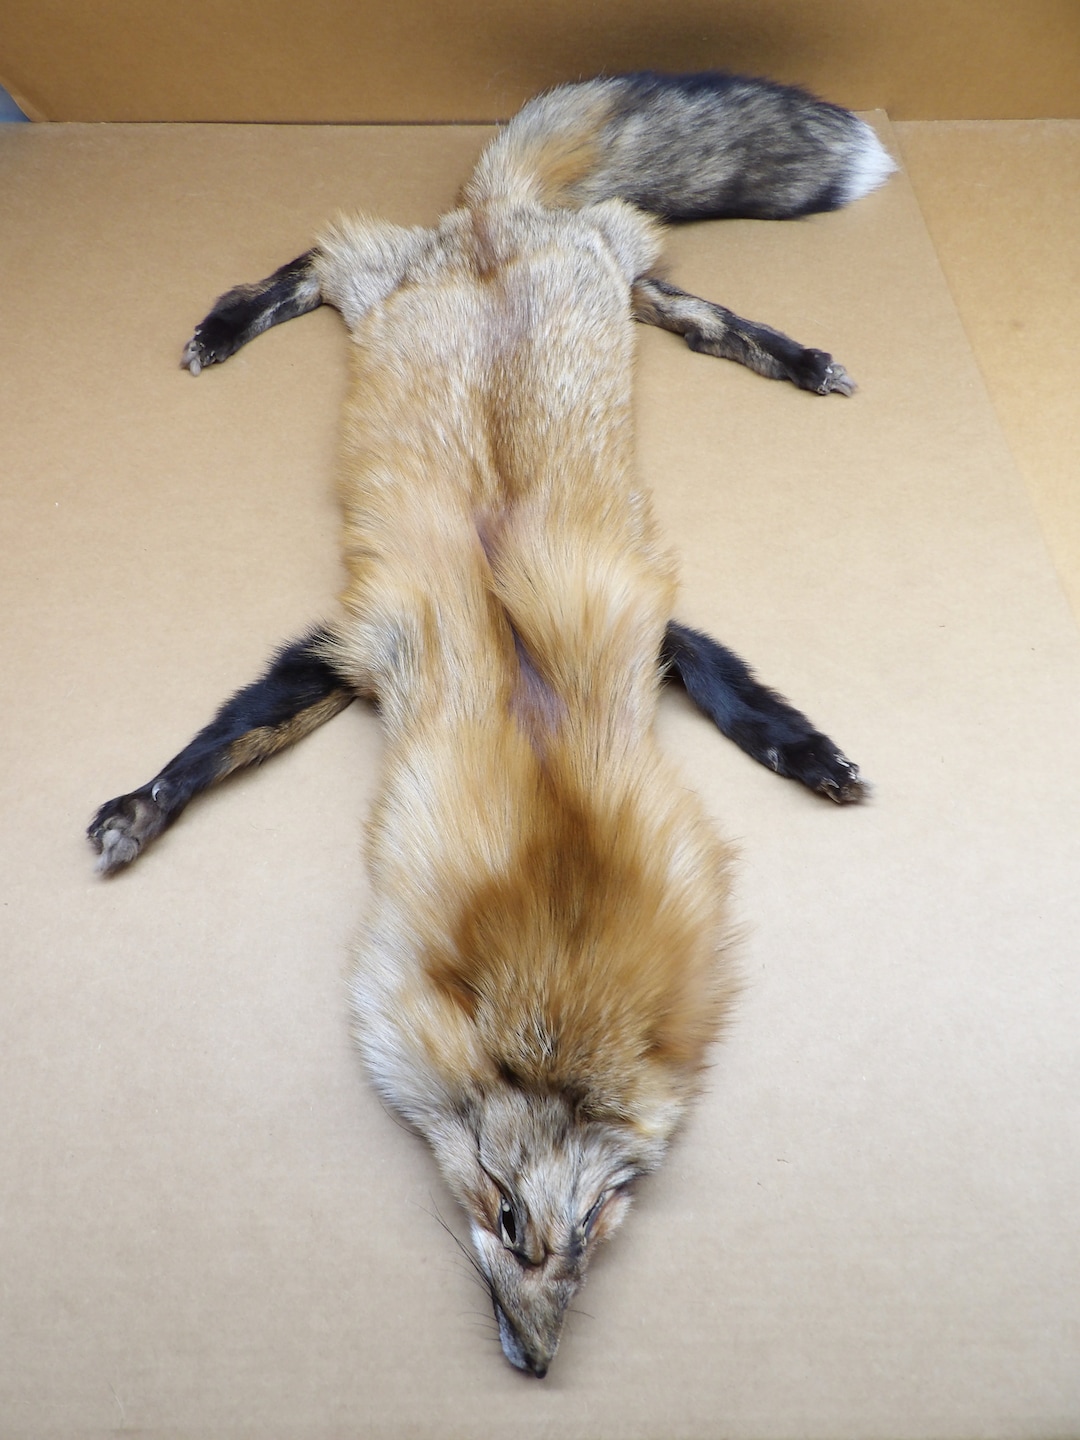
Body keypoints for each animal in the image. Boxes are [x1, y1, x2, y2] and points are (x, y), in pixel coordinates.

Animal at [88, 71, 891, 1376]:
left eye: (596, 1230)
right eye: (506, 1218)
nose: (536, 1364)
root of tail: (494, 222)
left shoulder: (638, 627)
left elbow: (736, 689)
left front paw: (807, 752)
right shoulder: (367, 643)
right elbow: (220, 742)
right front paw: (135, 812)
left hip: (602, 272)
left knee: (678, 299)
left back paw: (794, 354)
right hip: (383, 285)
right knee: (323, 251)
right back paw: (227, 321)